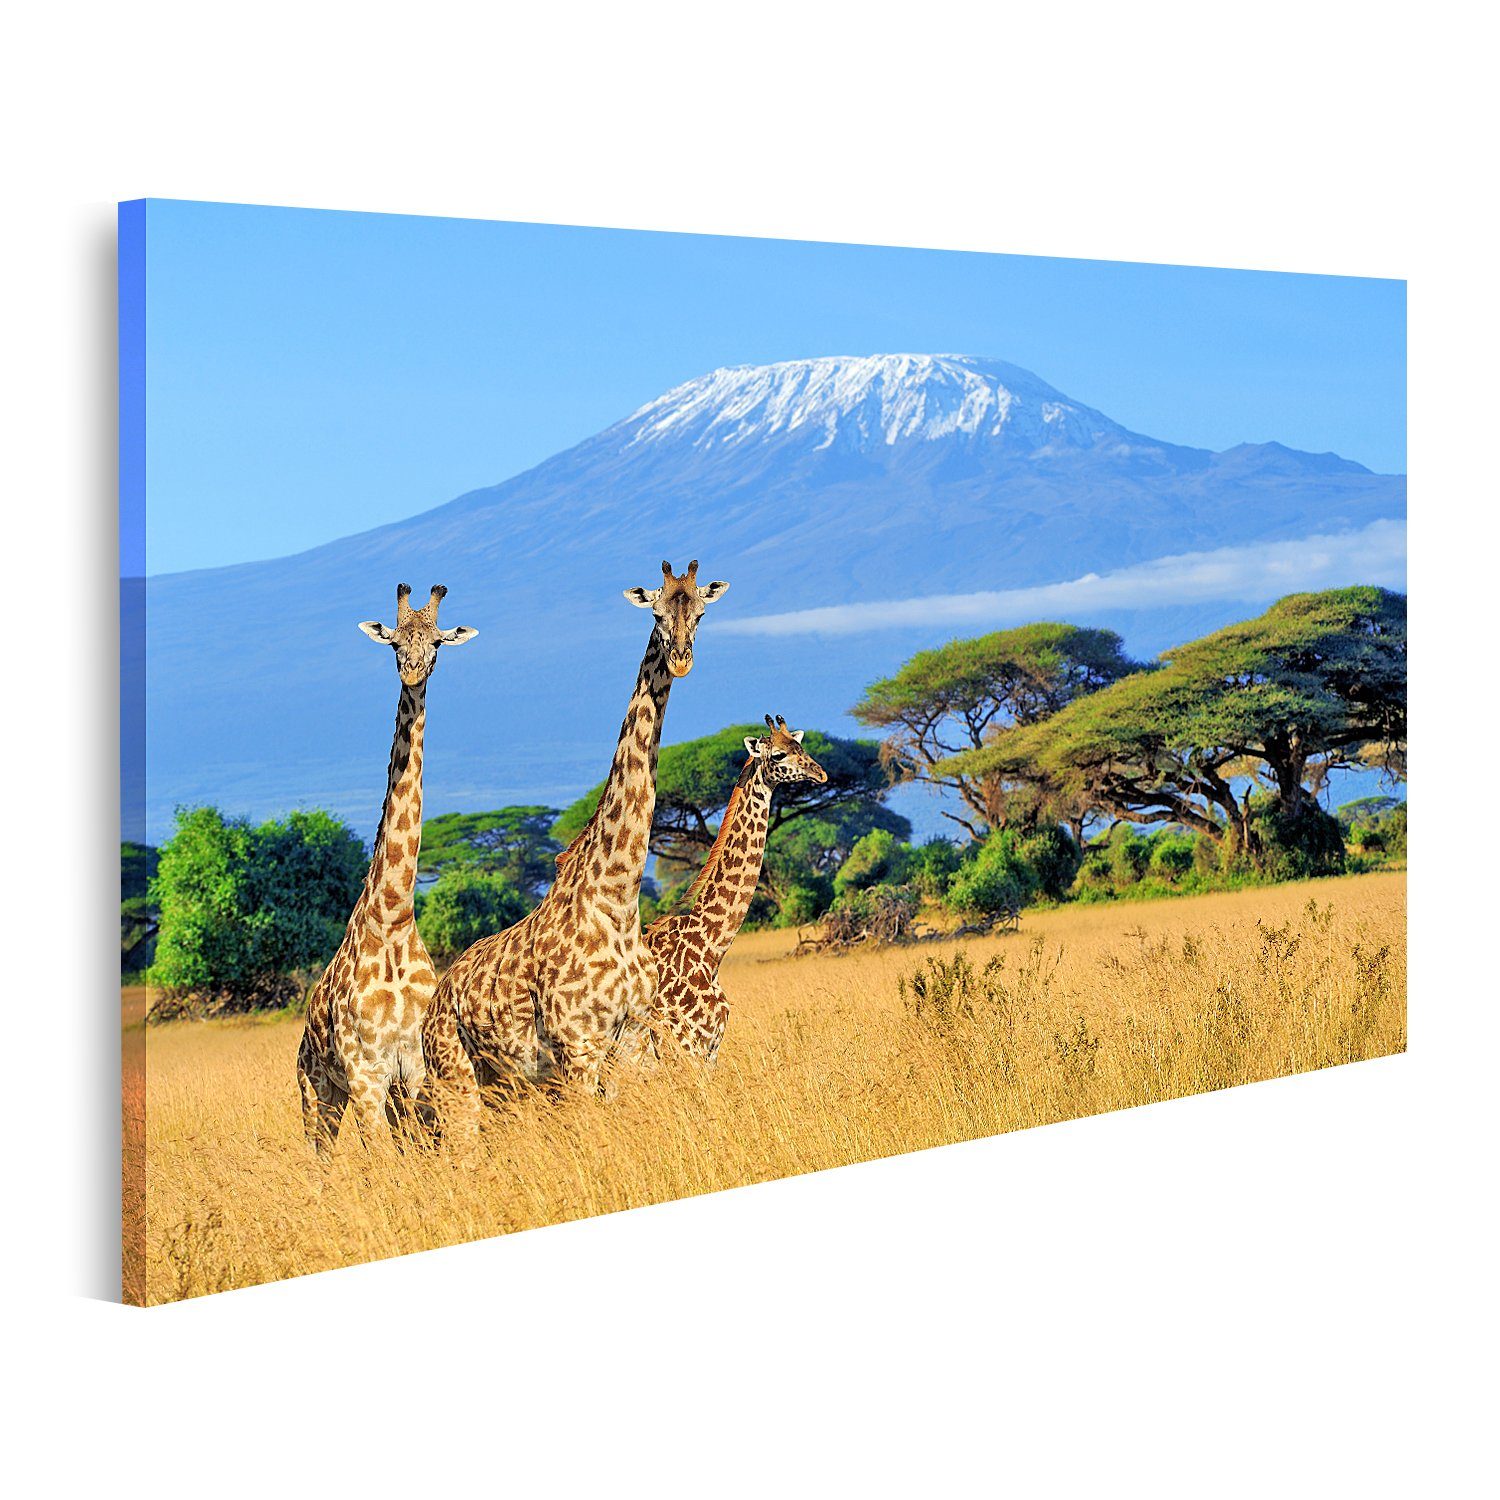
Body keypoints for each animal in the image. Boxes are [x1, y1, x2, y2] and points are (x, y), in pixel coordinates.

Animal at [295, 583, 477, 1151]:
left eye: (437, 642)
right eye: (395, 642)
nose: (413, 672)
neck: (394, 917)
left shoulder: (413, 1068)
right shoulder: (365, 1073)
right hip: (317, 1092)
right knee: (321, 1155)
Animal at [420, 560, 729, 1127]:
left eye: (700, 611)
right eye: (655, 613)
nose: (680, 660)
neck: (618, 898)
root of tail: (436, 999)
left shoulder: (632, 1039)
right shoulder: (579, 1047)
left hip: (509, 1087)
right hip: (457, 1081)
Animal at [644, 715, 826, 1063]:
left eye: (800, 746)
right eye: (778, 755)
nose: (820, 773)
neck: (710, 947)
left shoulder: (711, 1047)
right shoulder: (689, 1046)